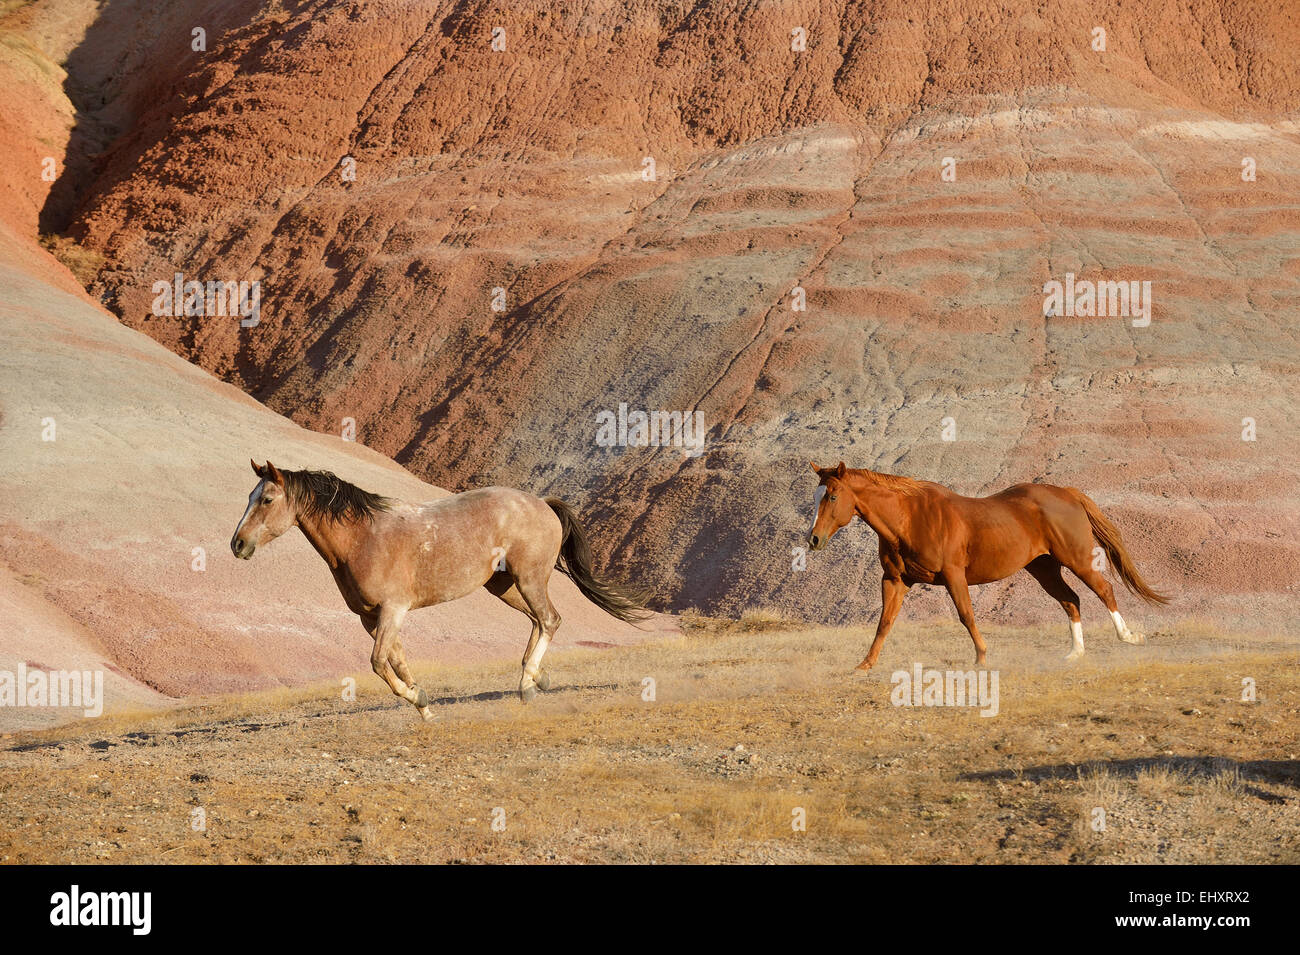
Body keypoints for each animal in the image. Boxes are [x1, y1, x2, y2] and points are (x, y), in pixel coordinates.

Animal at [230, 461, 646, 720]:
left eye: (266, 499)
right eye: (249, 497)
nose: (238, 544)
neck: (363, 539)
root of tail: (541, 502)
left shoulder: (393, 610)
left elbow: (378, 662)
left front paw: (419, 699)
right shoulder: (371, 617)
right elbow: (397, 661)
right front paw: (426, 707)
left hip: (529, 579)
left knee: (549, 619)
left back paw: (528, 683)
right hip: (504, 586)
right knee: (539, 622)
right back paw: (536, 679)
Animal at [806, 461, 1168, 669]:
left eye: (833, 496)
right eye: (817, 495)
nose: (813, 539)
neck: (910, 518)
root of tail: (1067, 493)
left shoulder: (954, 576)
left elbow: (966, 615)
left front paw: (981, 656)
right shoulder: (895, 580)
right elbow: (884, 623)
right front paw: (864, 665)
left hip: (1076, 559)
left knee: (1104, 590)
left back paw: (1130, 637)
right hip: (1044, 568)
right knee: (1071, 600)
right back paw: (1075, 653)